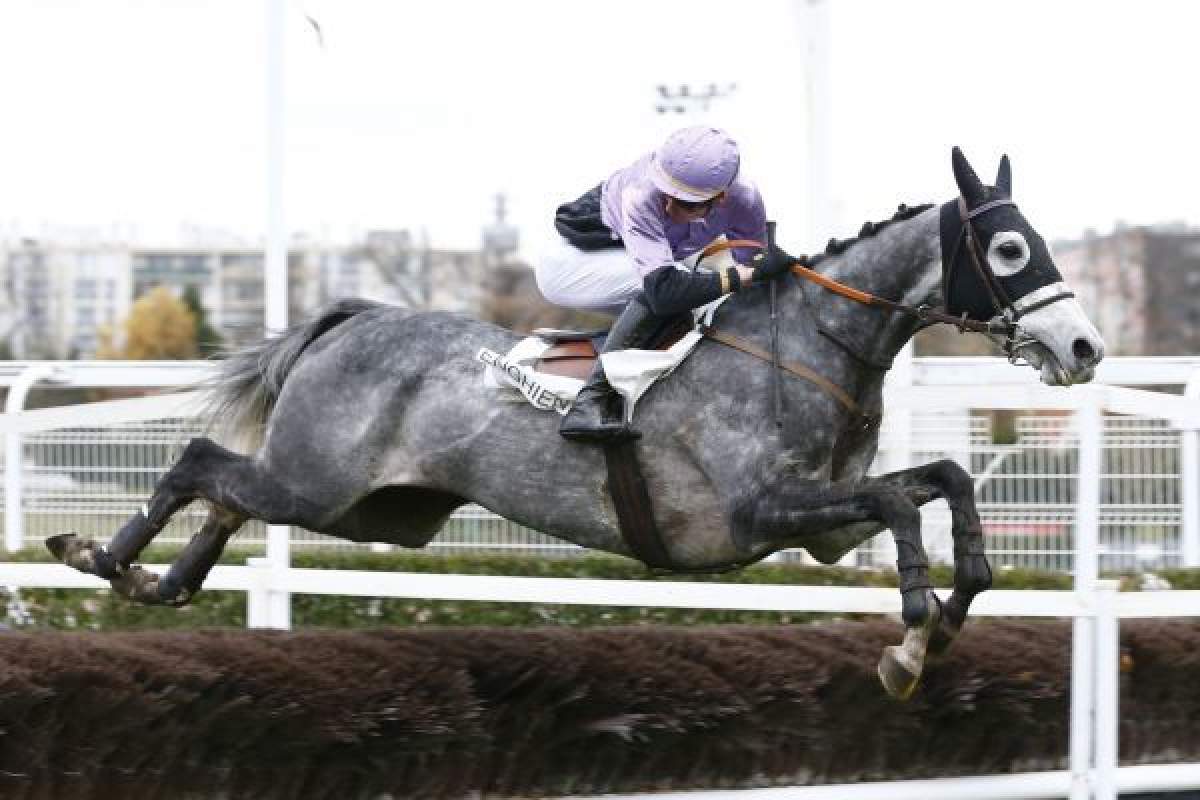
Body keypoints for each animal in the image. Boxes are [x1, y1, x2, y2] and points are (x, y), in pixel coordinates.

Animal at [48, 147, 1104, 699]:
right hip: (324, 482)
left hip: (373, 507)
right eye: (1010, 249)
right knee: (199, 459)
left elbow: (939, 485)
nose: (1086, 346)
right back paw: (104, 556)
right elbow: (899, 505)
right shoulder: (758, 515)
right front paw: (912, 641)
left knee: (229, 489)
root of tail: (352, 316)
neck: (805, 344)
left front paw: (953, 608)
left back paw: (160, 582)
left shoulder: (825, 530)